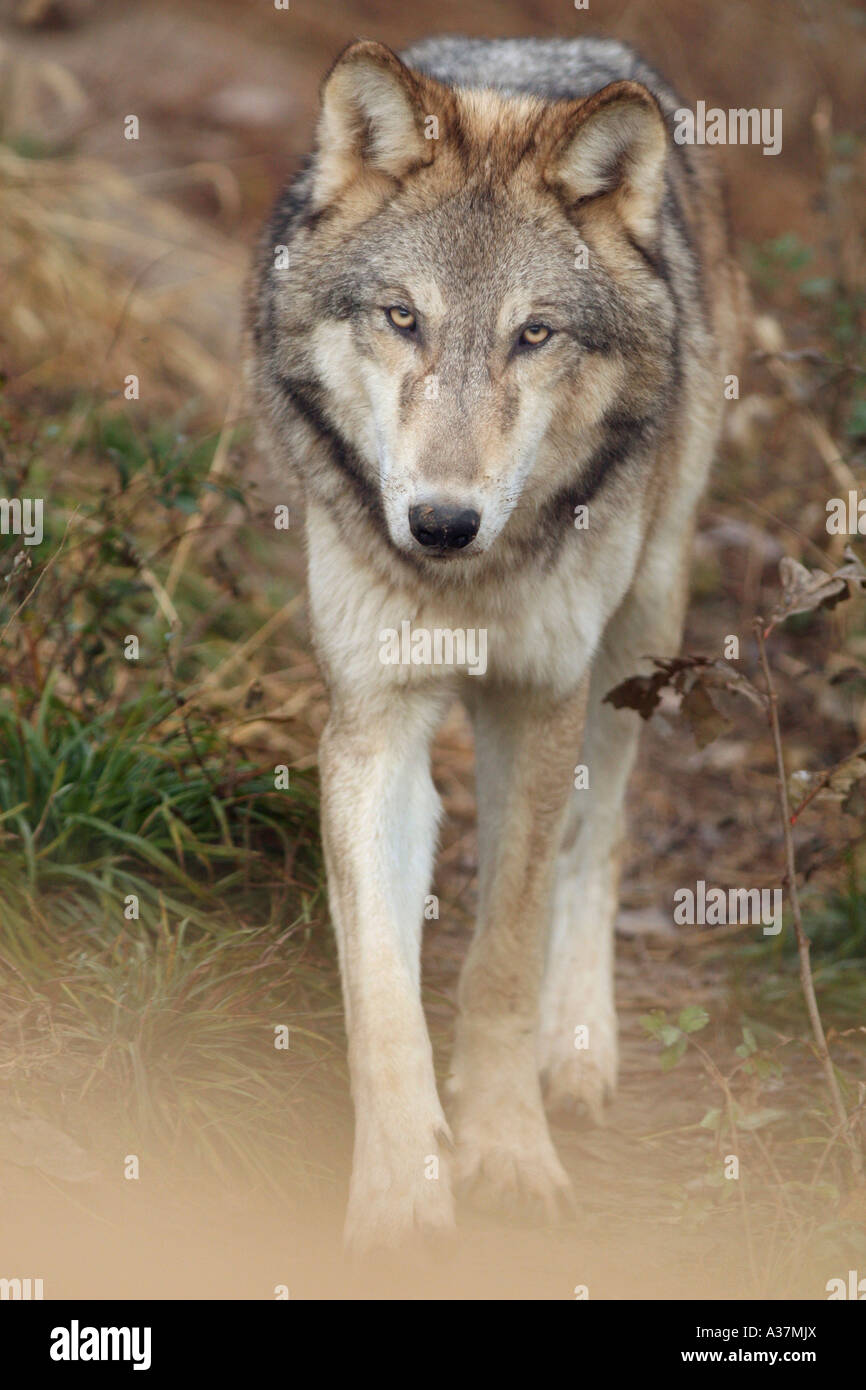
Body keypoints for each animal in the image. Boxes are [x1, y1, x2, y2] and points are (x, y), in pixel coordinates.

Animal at [245, 34, 746, 1253]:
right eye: (401, 318)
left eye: (533, 333)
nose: (439, 522)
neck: (467, 584)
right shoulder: (372, 721)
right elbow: (379, 991)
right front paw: (400, 1195)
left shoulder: (539, 698)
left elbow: (503, 956)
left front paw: (509, 1153)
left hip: (640, 631)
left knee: (598, 839)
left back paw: (579, 1051)